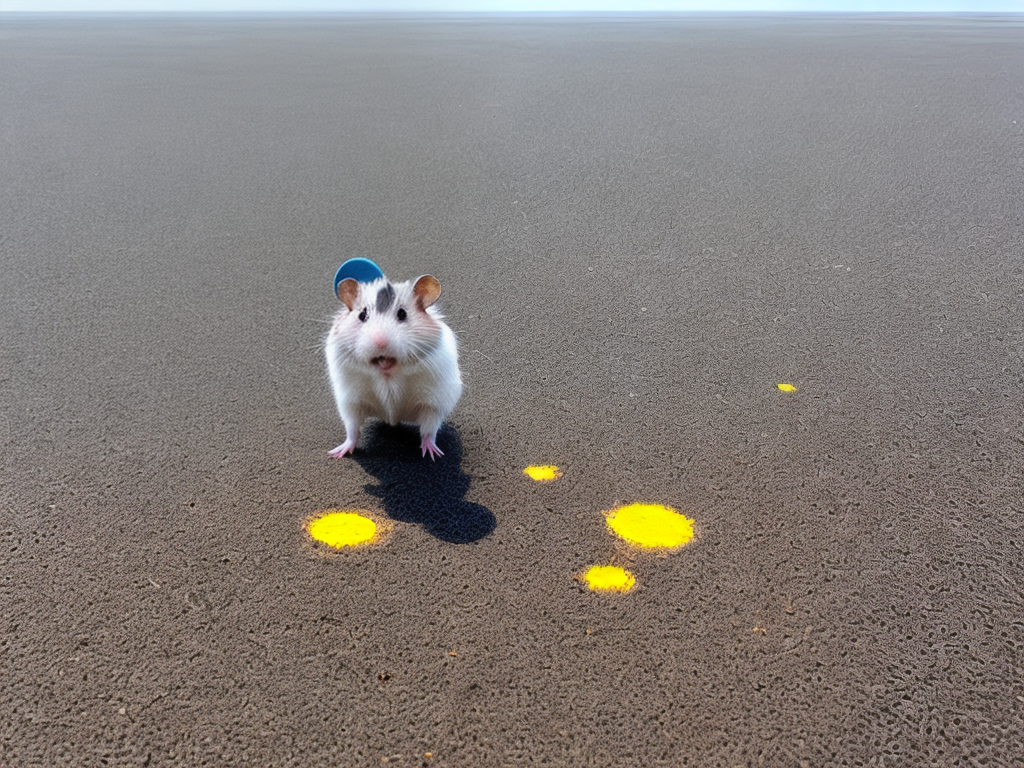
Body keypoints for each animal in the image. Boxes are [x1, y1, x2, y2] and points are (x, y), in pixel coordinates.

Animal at [325, 272, 462, 460]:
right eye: (362, 315)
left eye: (402, 314)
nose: (380, 342)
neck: (387, 374)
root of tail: (394, 419)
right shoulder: (350, 402)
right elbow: (352, 430)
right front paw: (335, 453)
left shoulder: (433, 401)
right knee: (352, 430)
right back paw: (339, 451)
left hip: (434, 405)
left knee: (429, 430)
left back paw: (432, 453)